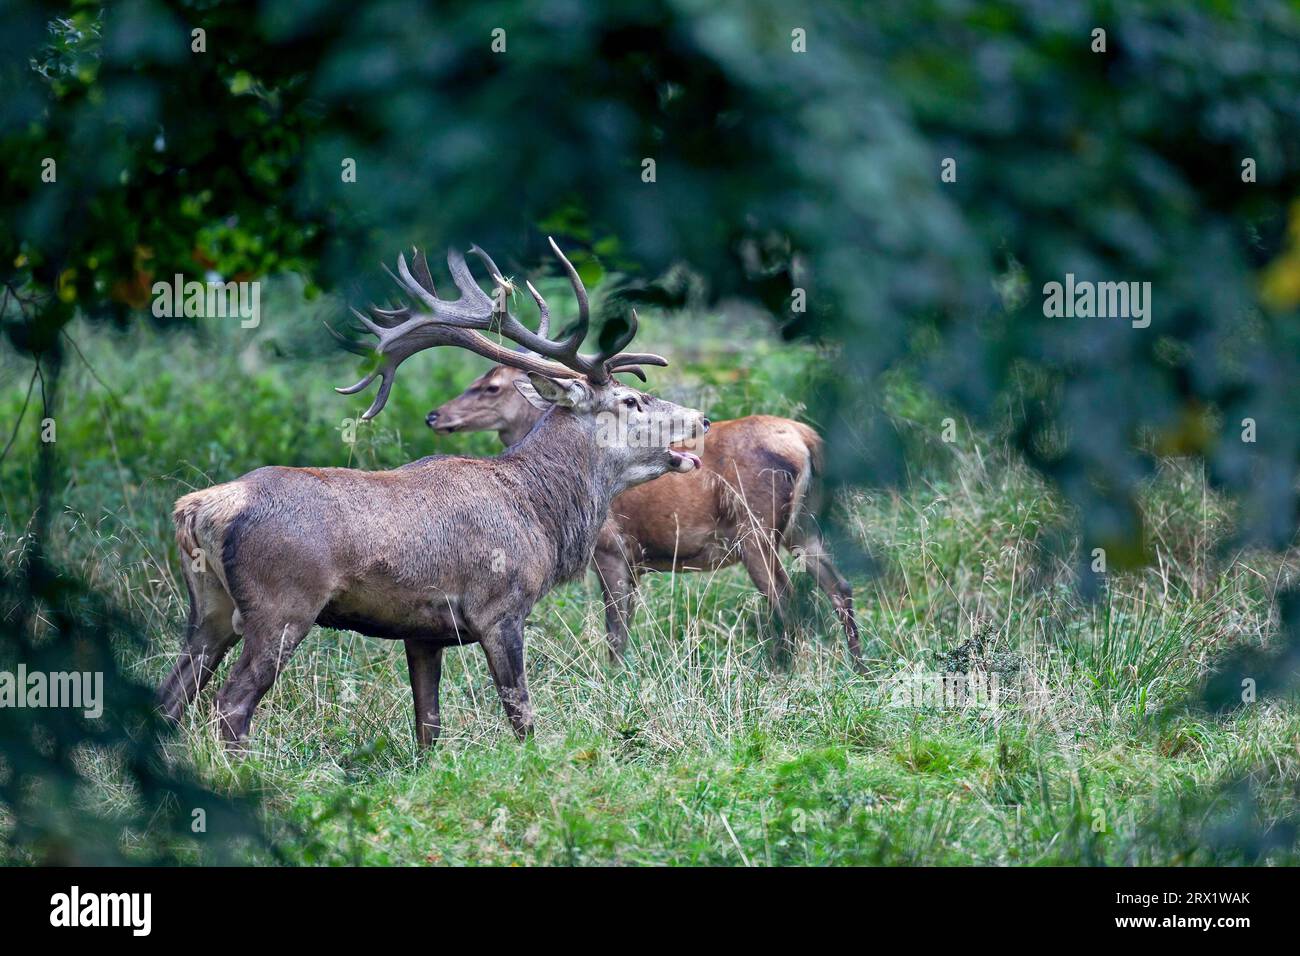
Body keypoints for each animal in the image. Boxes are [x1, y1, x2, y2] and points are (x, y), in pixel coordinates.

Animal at [158, 239, 709, 749]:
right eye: (631, 400)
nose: (702, 418)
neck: (541, 515)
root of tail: (198, 510)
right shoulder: (499, 607)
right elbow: (521, 714)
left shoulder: (422, 631)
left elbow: (428, 726)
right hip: (281, 605)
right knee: (230, 704)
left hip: (208, 610)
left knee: (169, 698)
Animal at [427, 361, 862, 668]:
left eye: (491, 386)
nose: (435, 415)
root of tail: (809, 440)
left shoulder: (611, 548)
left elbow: (615, 632)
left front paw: (615, 681)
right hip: (804, 527)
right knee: (839, 586)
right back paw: (857, 668)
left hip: (755, 529)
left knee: (787, 597)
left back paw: (785, 671)